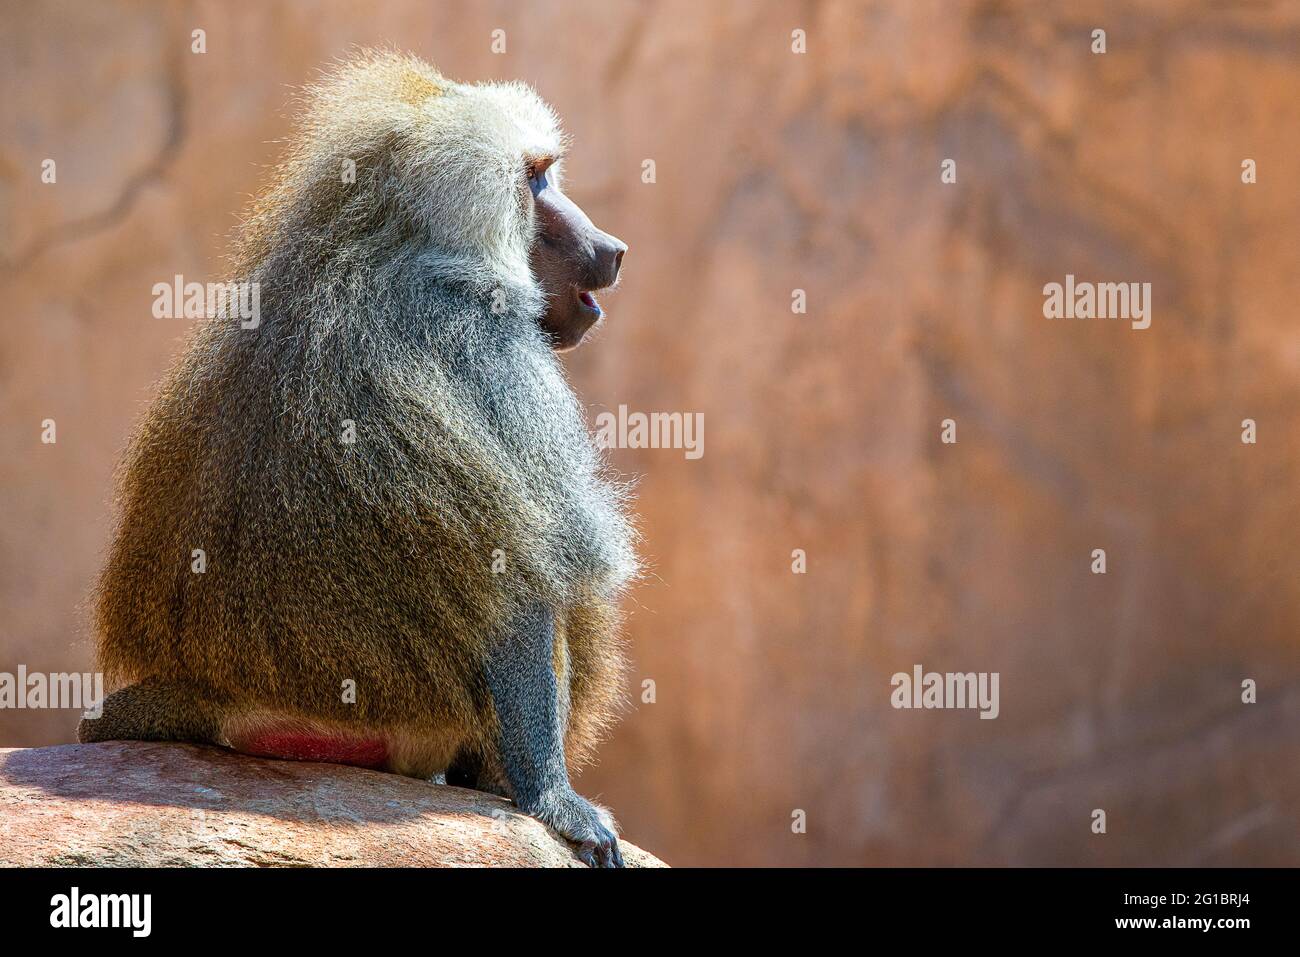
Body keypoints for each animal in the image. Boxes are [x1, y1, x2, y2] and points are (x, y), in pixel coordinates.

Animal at [78, 51, 637, 868]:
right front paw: (553, 797)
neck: (387, 242)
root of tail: (233, 697)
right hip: (419, 715)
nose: (612, 250)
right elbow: (525, 578)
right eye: (536, 179)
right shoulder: (487, 338)